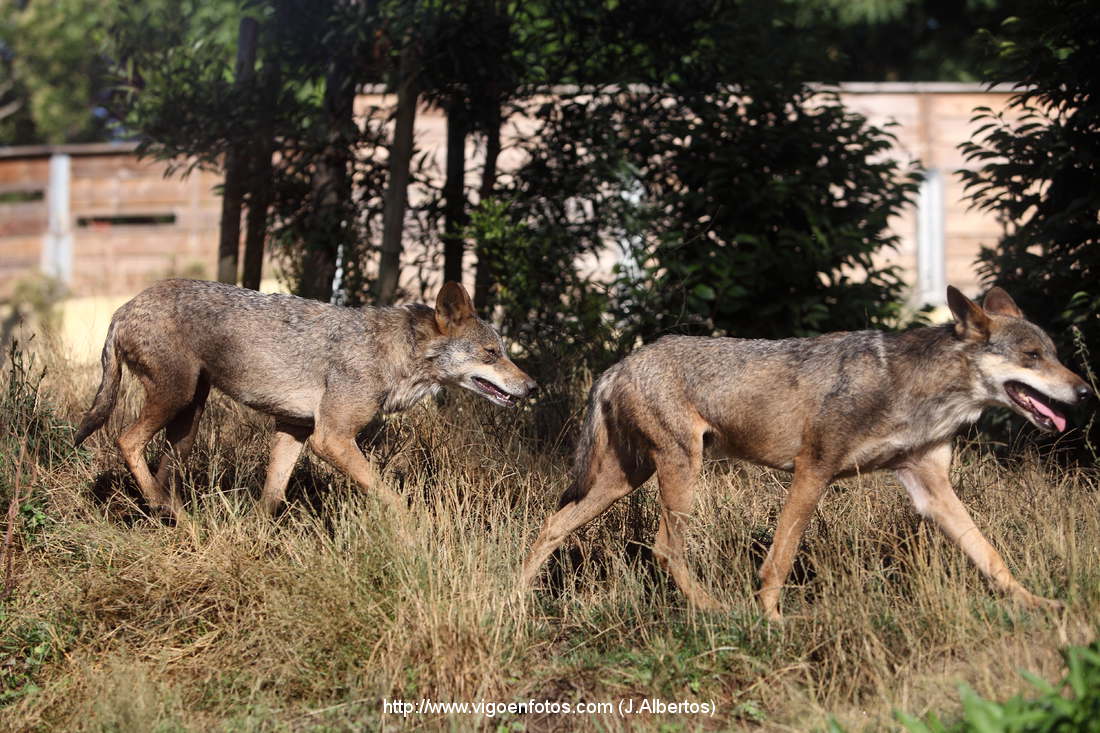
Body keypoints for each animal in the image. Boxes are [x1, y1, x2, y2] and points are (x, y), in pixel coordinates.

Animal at [75, 279, 536, 520]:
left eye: (504, 351)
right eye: (491, 354)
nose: (532, 387)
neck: (394, 352)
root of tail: (123, 308)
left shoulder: (293, 430)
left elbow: (271, 498)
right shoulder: (330, 439)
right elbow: (389, 494)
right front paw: (416, 528)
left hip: (190, 414)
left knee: (162, 466)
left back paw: (173, 516)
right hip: (177, 396)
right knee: (126, 440)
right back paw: (166, 510)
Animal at [520, 286, 1093, 620]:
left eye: (1055, 355)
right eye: (1032, 356)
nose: (1087, 392)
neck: (916, 390)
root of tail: (619, 364)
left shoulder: (930, 489)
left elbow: (991, 556)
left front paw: (1040, 604)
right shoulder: (811, 472)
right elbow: (780, 558)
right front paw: (770, 622)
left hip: (624, 482)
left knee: (552, 525)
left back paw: (516, 599)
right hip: (679, 475)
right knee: (664, 549)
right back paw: (716, 610)